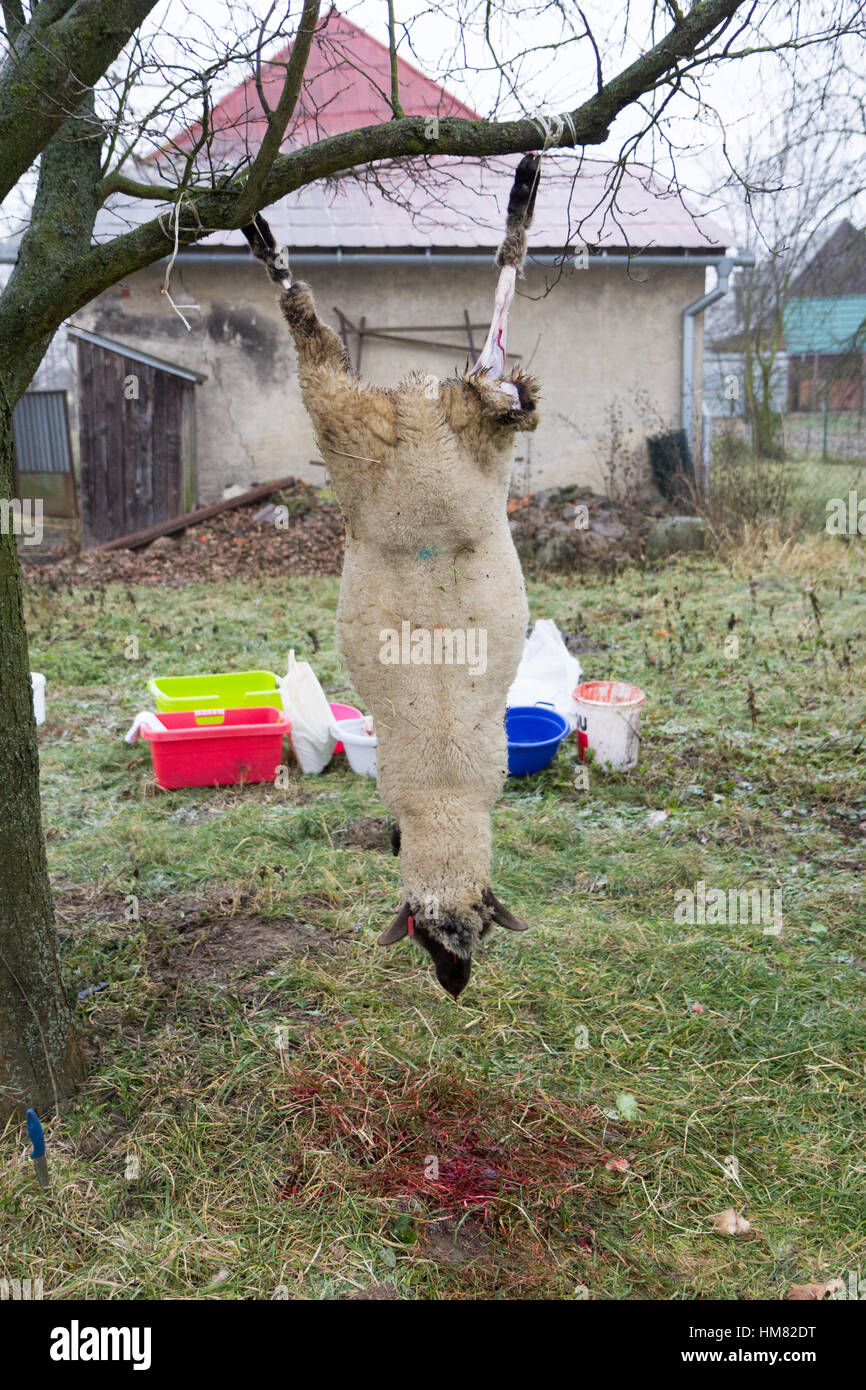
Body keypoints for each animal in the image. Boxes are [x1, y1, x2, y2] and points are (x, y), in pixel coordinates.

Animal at [243, 154, 541, 997]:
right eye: (430, 938)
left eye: (471, 934)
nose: (455, 988)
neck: (441, 798)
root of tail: (420, 435)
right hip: (424, 427)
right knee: (489, 344)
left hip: (362, 420)